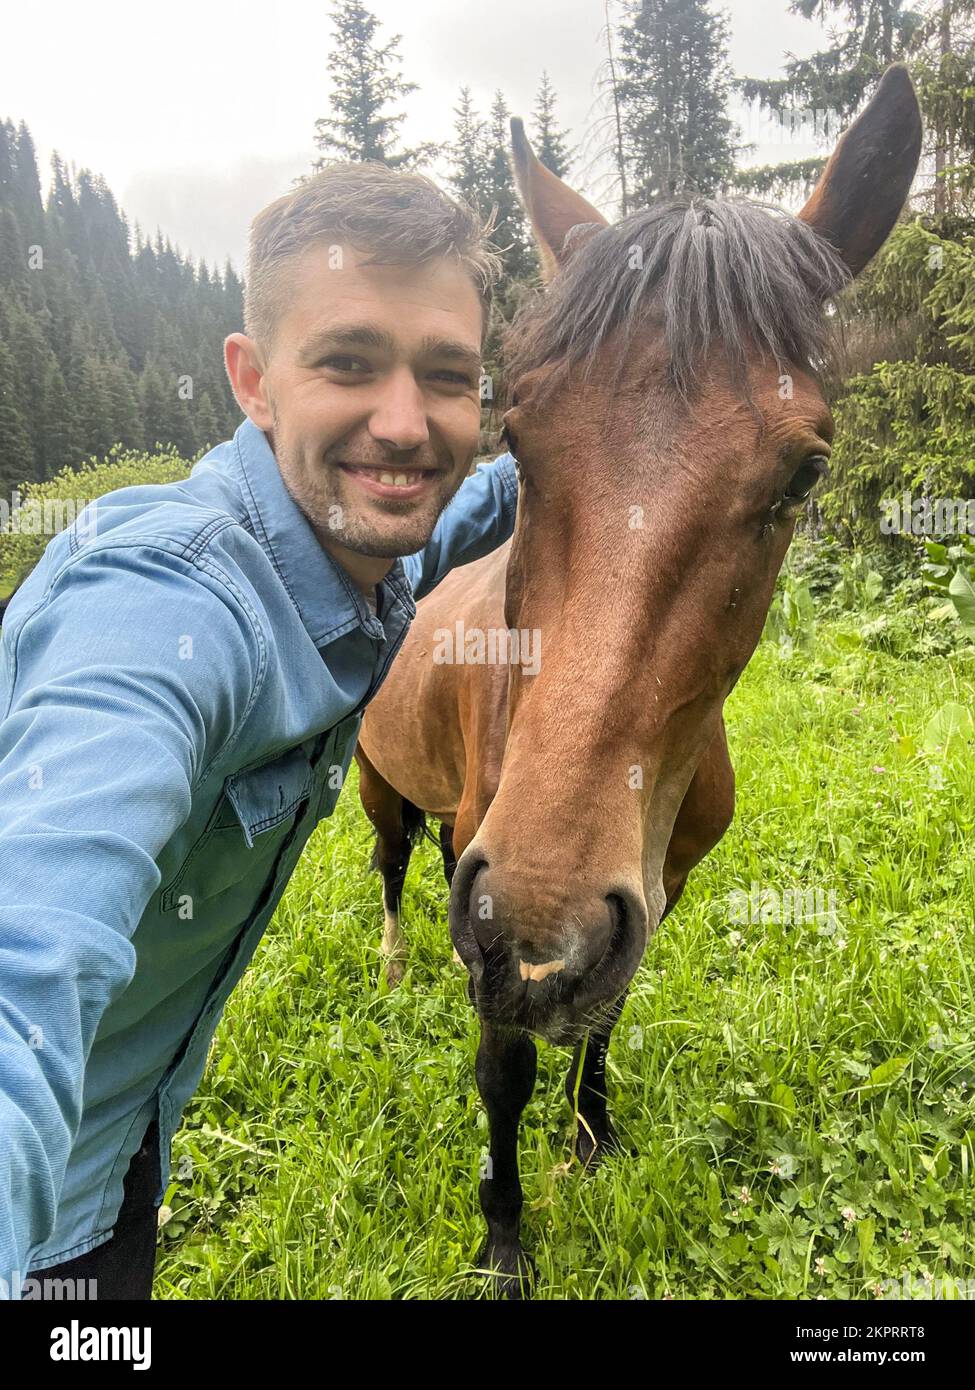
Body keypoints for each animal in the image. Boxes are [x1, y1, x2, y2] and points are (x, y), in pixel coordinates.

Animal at [354, 65, 922, 1296]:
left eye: (805, 471)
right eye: (517, 437)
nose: (539, 917)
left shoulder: (650, 891)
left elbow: (604, 1017)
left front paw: (593, 1136)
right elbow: (503, 1069)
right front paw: (504, 1239)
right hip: (385, 794)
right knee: (391, 868)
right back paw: (392, 962)